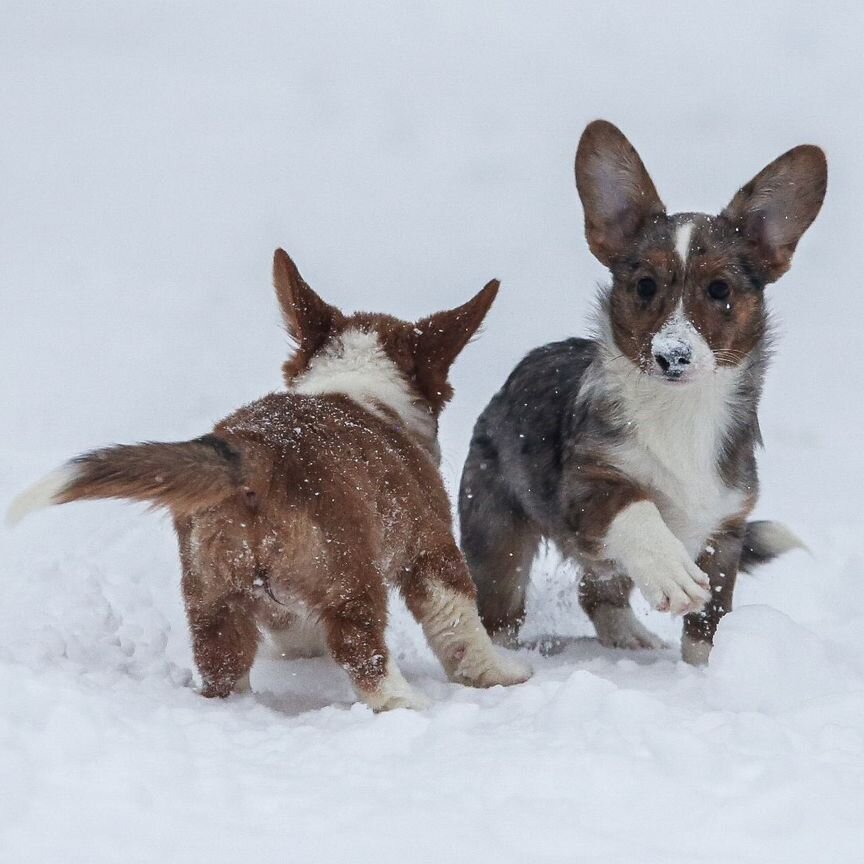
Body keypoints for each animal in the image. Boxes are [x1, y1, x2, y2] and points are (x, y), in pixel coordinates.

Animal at [10, 248, 528, 708]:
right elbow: (459, 624)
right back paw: (408, 703)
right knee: (363, 652)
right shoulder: (430, 547)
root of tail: (258, 454)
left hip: (211, 594)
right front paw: (500, 676)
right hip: (352, 576)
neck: (359, 388)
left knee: (222, 664)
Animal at [456, 120, 828, 660]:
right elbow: (637, 508)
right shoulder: (587, 487)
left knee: (596, 593)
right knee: (499, 611)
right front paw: (672, 574)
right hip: (498, 537)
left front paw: (703, 672)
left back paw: (628, 637)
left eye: (719, 290)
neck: (680, 410)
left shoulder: (725, 528)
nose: (672, 356)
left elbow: (706, 624)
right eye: (646, 286)